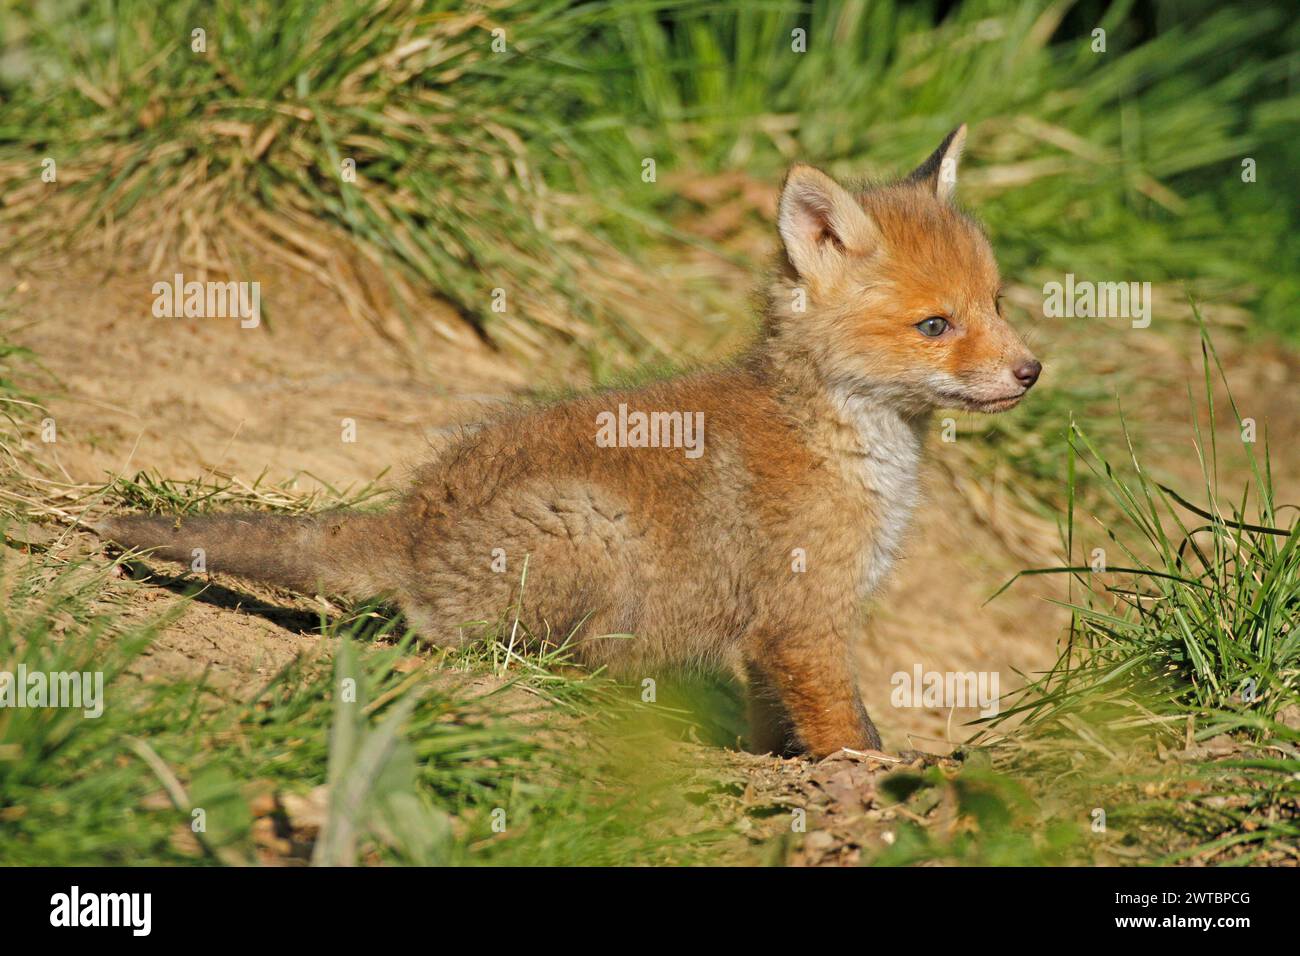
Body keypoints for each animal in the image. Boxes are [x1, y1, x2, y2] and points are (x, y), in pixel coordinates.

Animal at [96, 125, 1040, 758]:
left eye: (996, 303)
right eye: (935, 325)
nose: (1031, 370)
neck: (841, 441)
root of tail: (408, 529)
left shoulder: (775, 638)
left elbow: (781, 727)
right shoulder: (804, 621)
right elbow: (849, 734)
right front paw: (875, 782)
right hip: (591, 542)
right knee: (500, 655)